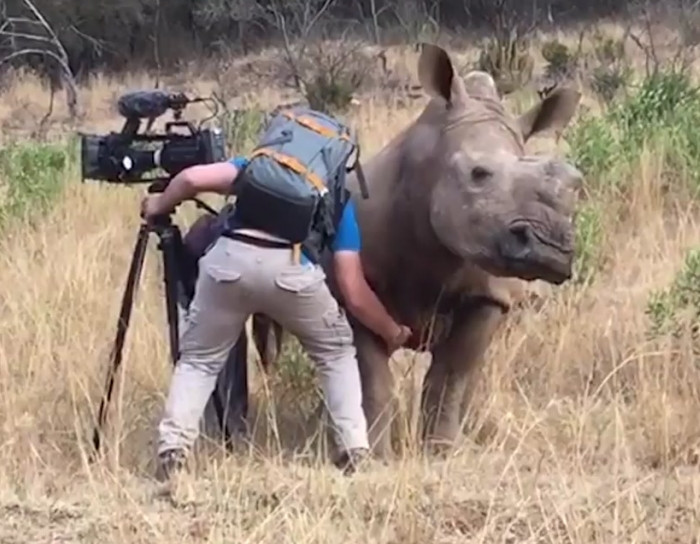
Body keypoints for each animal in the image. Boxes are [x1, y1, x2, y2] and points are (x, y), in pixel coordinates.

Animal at [190, 43, 583, 458]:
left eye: (576, 185)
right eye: (479, 174)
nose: (550, 249)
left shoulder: (488, 295)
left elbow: (451, 379)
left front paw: (441, 451)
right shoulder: (358, 290)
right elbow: (373, 380)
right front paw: (377, 456)